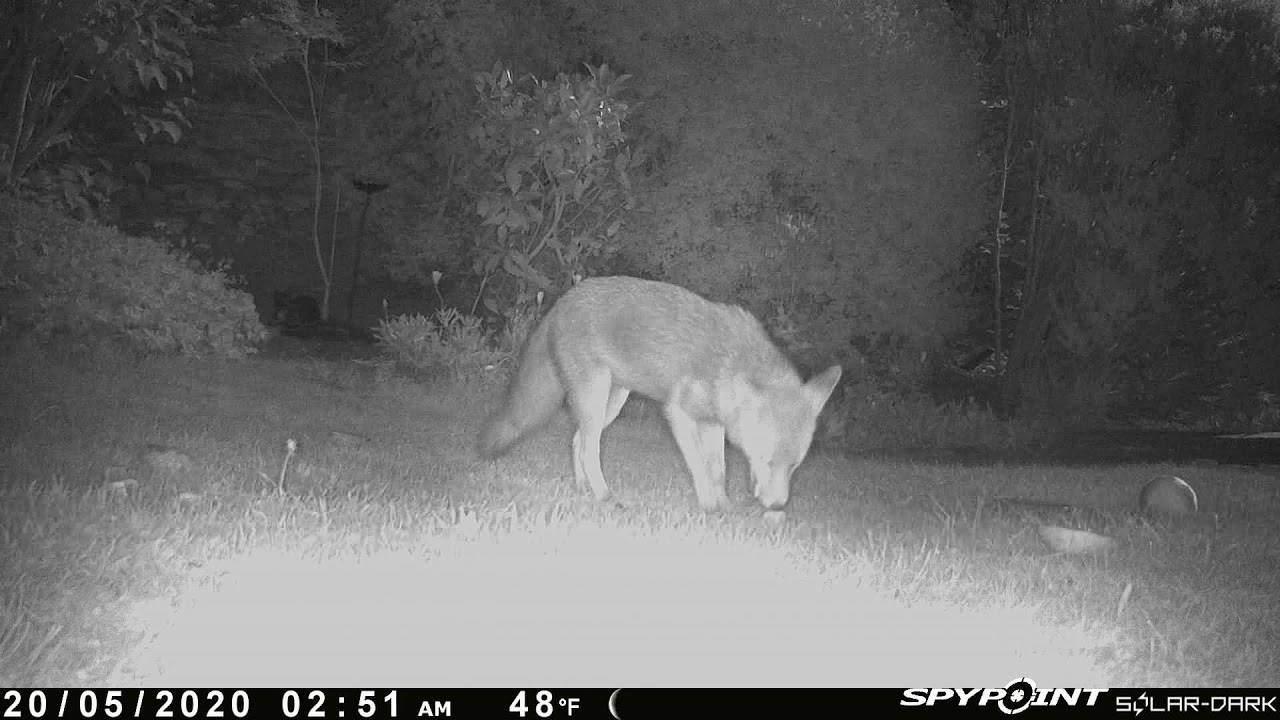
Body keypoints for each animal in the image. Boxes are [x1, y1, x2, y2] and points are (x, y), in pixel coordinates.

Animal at [478, 276, 842, 511]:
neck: (725, 363)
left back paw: (584, 490)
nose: (777, 506)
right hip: (596, 399)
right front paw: (709, 507)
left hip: (611, 403)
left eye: (795, 466)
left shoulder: (713, 423)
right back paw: (604, 496)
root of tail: (562, 302)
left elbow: (718, 470)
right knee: (589, 448)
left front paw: (725, 507)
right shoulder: (678, 412)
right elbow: (699, 466)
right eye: (766, 461)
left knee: (578, 441)